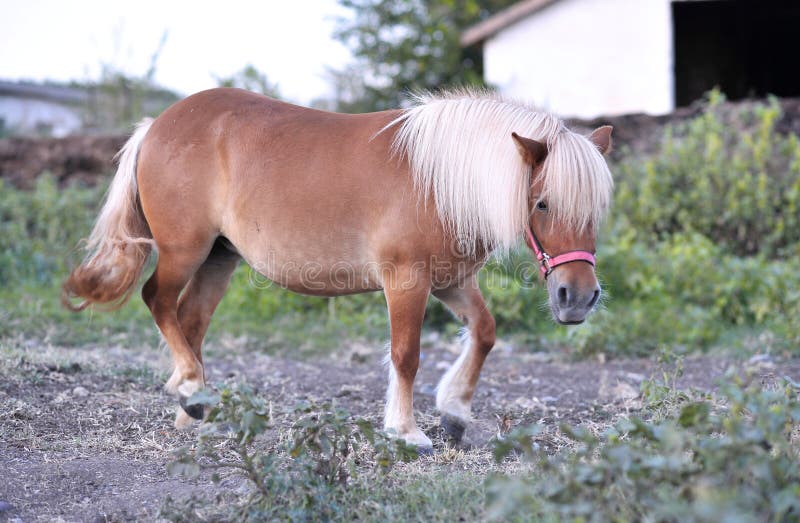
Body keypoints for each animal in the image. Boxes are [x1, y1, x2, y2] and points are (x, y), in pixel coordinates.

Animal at [63, 87, 613, 452]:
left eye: (598, 209)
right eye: (541, 203)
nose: (577, 298)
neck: (438, 179)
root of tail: (155, 126)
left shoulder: (450, 282)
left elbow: (484, 332)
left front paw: (455, 411)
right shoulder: (407, 280)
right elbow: (406, 355)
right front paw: (406, 431)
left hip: (219, 257)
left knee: (190, 320)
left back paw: (193, 408)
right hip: (184, 250)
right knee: (158, 301)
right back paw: (192, 390)